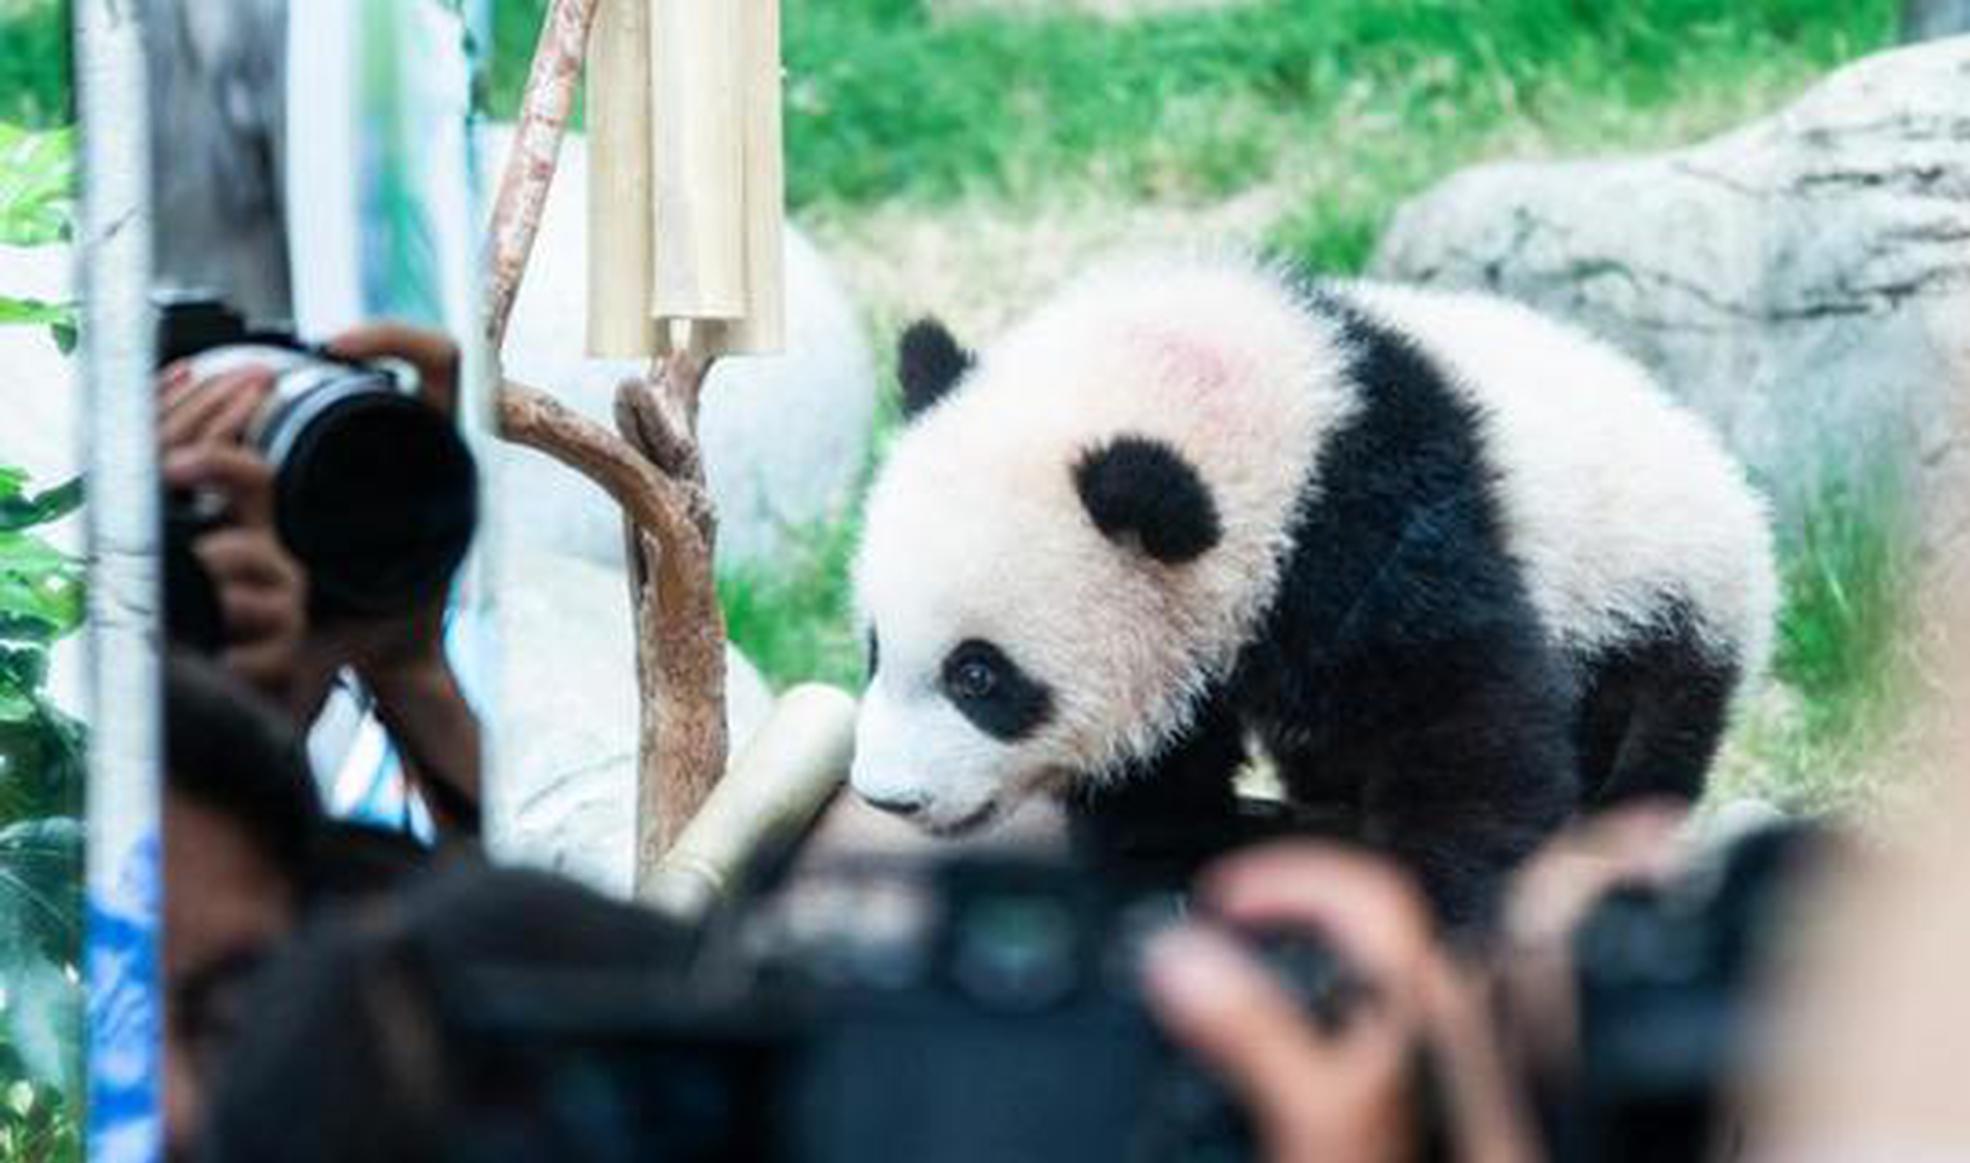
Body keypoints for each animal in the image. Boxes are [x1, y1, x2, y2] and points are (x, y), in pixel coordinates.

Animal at [850, 252, 1777, 924]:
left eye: (979, 676)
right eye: (873, 648)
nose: (885, 795)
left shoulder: (1380, 527)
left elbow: (1468, 721)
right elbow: (1159, 762)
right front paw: (1161, 875)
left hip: (1652, 590)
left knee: (1648, 724)